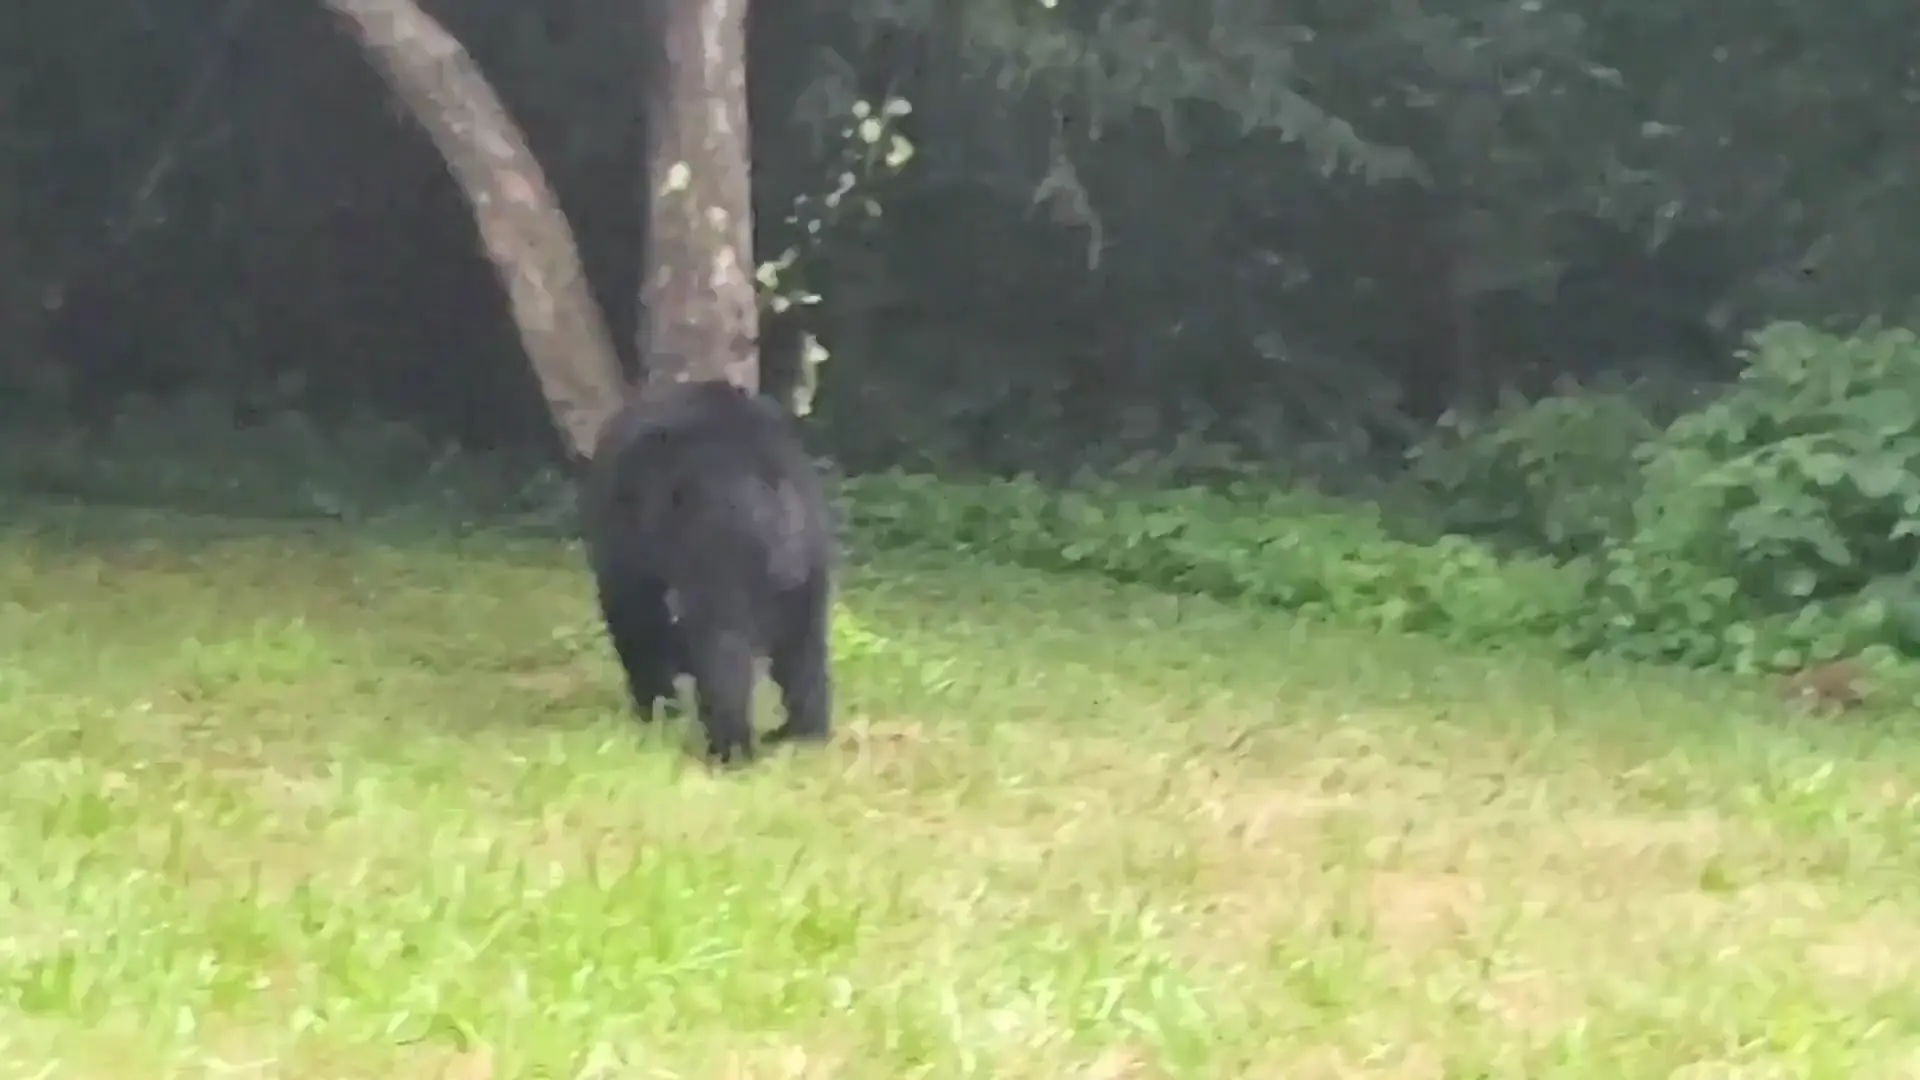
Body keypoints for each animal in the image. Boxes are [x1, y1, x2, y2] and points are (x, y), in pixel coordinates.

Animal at [579, 378, 835, 764]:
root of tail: (776, 492)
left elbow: (636, 618)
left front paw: (656, 710)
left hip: (726, 552)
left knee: (722, 650)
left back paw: (729, 748)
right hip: (811, 557)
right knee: (805, 648)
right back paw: (804, 734)